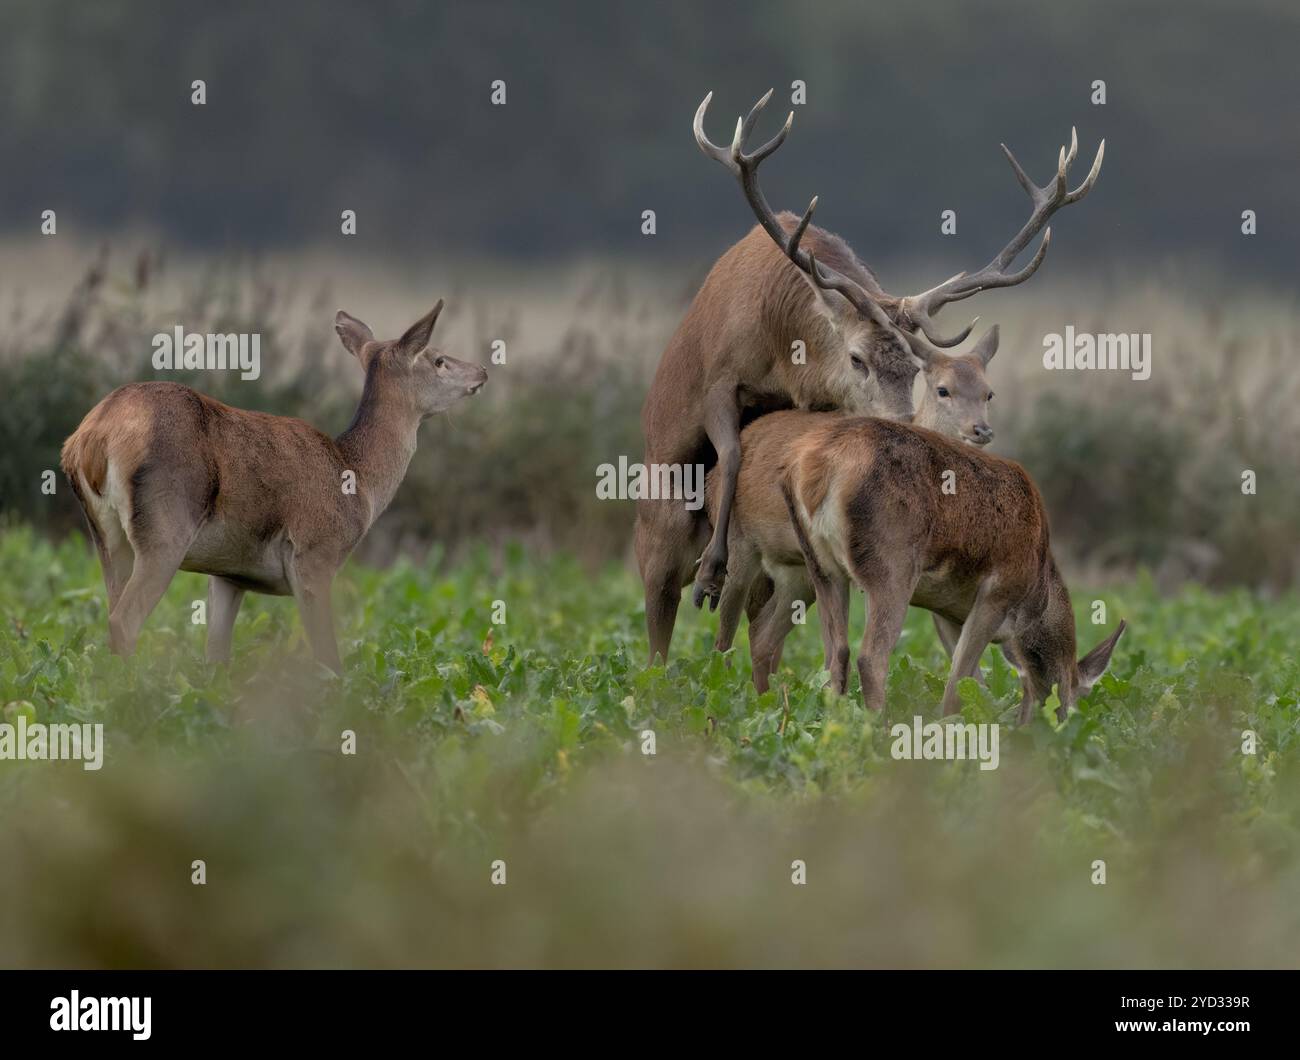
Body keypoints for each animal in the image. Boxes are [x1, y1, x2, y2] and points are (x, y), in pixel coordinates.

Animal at [60, 301, 487, 673]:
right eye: (438, 359)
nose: (482, 371)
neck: (358, 482)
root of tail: (92, 437)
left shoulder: (229, 574)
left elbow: (216, 657)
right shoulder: (315, 553)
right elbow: (328, 659)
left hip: (107, 538)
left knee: (112, 608)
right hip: (166, 526)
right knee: (124, 619)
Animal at [708, 325, 1000, 692]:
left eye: (989, 393)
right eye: (943, 389)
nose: (981, 429)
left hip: (796, 572)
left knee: (761, 634)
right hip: (740, 547)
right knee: (724, 635)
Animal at [747, 412, 1126, 723]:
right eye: (1076, 705)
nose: (1055, 727)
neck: (1038, 595)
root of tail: (816, 466)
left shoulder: (948, 610)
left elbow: (975, 681)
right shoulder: (998, 592)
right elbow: (957, 682)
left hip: (822, 568)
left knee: (834, 656)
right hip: (893, 564)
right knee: (871, 657)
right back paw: (881, 730)